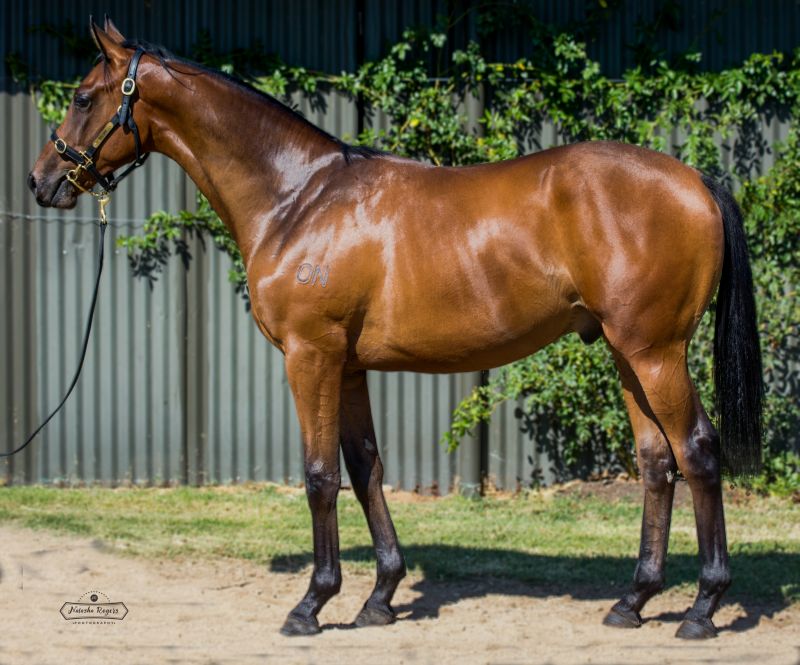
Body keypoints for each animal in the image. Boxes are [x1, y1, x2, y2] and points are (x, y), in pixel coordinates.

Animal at [28, 19, 763, 640]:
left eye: (83, 95)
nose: (41, 180)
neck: (298, 199)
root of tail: (695, 178)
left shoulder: (310, 357)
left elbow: (319, 474)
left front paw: (311, 603)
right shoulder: (348, 365)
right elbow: (364, 468)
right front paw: (380, 596)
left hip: (656, 352)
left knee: (697, 451)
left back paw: (702, 608)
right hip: (625, 353)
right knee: (657, 462)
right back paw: (632, 601)